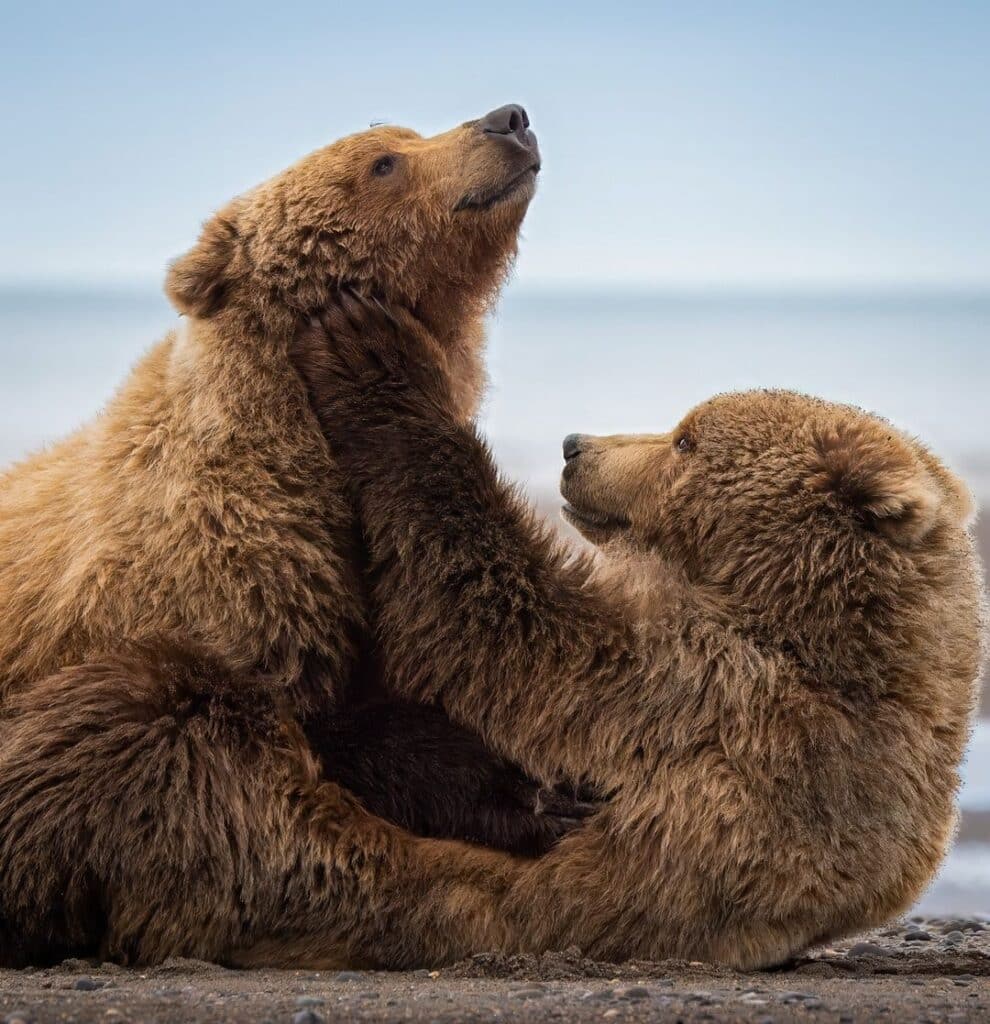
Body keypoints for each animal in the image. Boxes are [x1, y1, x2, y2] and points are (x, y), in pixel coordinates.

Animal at [0, 106, 584, 968]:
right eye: (381, 163)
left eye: (404, 132)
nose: (508, 118)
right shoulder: (236, 581)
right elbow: (320, 735)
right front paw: (528, 801)